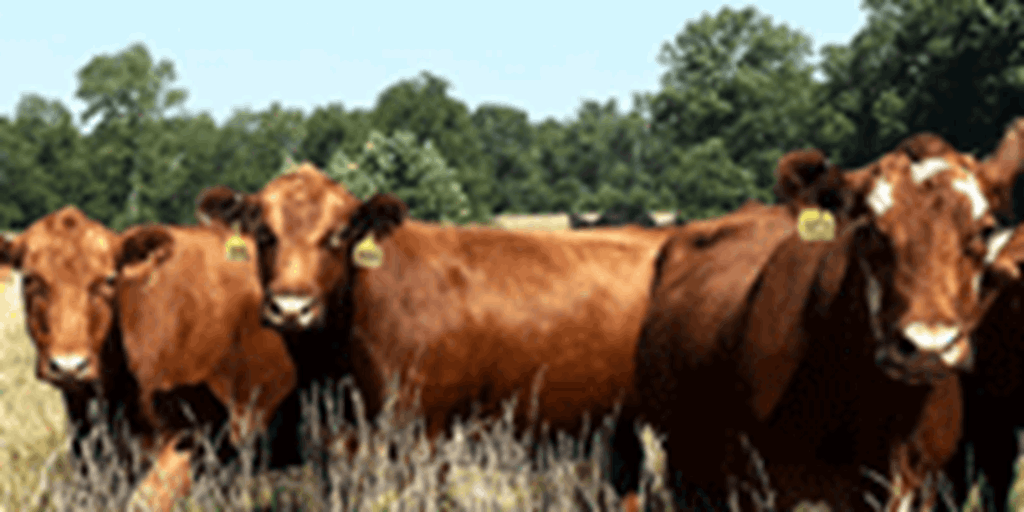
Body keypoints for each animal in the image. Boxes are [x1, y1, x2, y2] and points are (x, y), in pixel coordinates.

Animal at [0, 208, 297, 512]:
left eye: (109, 279)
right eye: (30, 279)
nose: (69, 365)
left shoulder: (202, 435)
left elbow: (146, 500)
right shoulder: (90, 443)